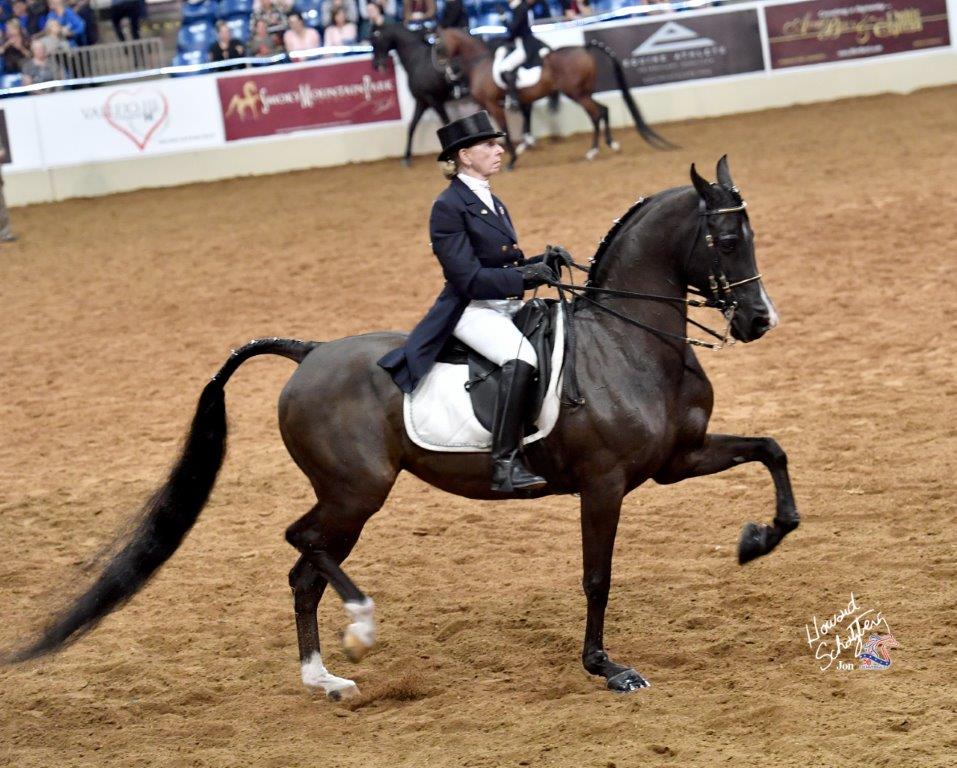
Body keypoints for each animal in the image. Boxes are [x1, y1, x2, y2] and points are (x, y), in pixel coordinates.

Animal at [4, 158, 799, 700]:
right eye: (725, 237)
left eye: (751, 232)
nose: (758, 322)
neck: (631, 341)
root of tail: (308, 353)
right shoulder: (603, 485)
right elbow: (597, 577)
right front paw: (606, 667)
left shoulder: (676, 458)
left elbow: (772, 451)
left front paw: (756, 541)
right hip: (358, 490)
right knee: (301, 543)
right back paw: (359, 624)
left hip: (352, 499)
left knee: (304, 568)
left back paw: (324, 678)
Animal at [369, 21, 455, 165]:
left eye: (376, 40)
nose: (376, 65)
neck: (417, 60)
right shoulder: (422, 101)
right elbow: (412, 126)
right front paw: (406, 157)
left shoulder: (434, 100)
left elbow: (447, 122)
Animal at [436, 26, 675, 169]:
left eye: (437, 45)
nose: (446, 73)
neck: (480, 65)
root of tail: (583, 48)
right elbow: (523, 122)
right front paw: (523, 147)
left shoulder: (492, 105)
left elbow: (504, 131)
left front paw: (512, 160)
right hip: (584, 91)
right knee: (603, 110)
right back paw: (610, 144)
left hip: (577, 93)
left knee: (596, 114)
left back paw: (593, 151)